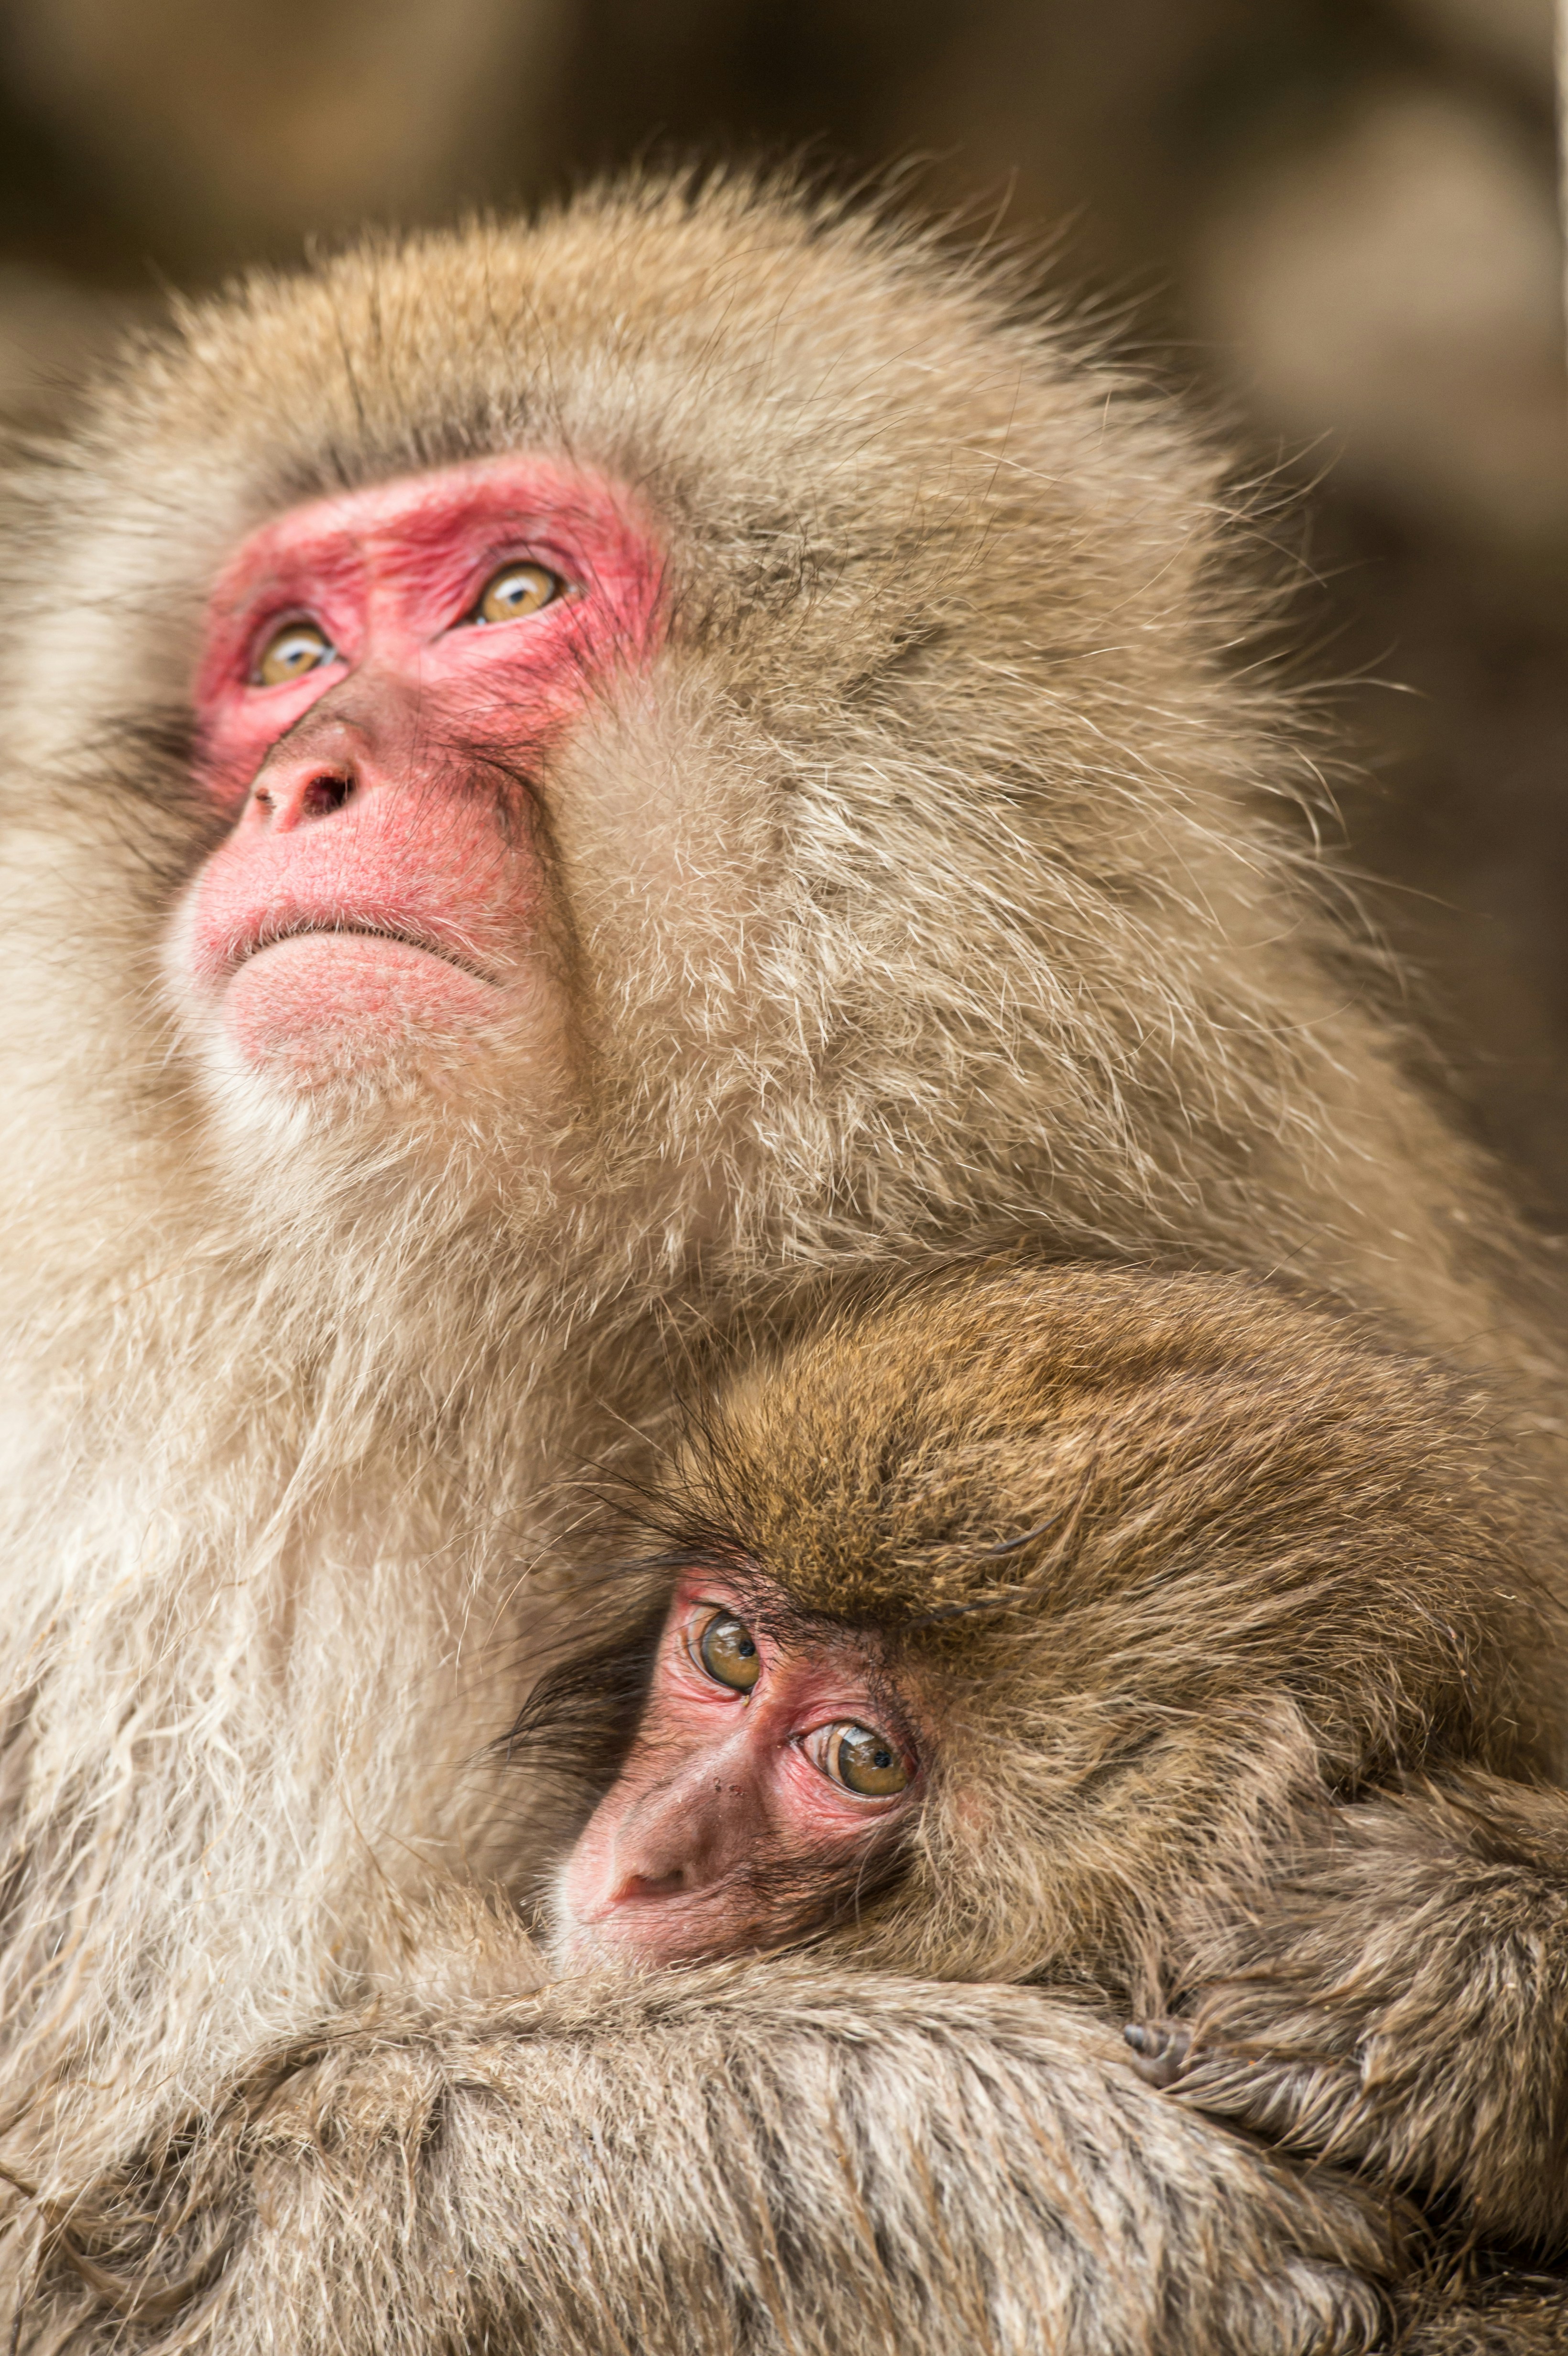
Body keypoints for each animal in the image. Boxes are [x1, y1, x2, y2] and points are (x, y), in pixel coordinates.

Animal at [0, 167, 1564, 2352]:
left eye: (510, 597)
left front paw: (1469, 1967)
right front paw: (1023, 2161)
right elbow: (113, 2226)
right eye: (290, 647)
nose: (301, 777)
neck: (534, 1284)